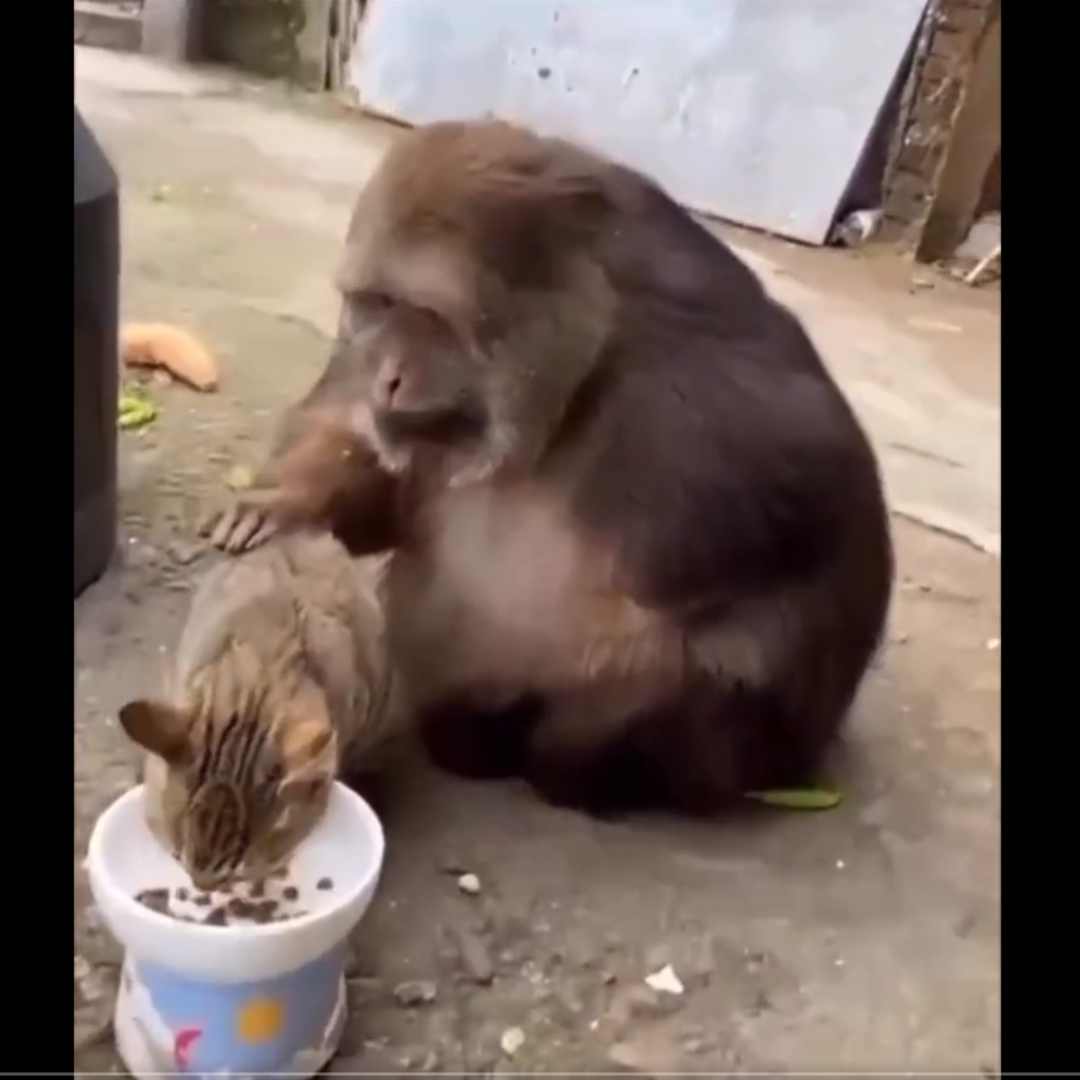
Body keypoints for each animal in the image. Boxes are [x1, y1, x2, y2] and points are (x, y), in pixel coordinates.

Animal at [204, 120, 894, 816]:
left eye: (428, 315)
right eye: (377, 304)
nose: (388, 376)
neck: (574, 379)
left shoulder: (718, 410)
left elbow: (811, 565)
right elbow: (381, 484)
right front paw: (286, 499)